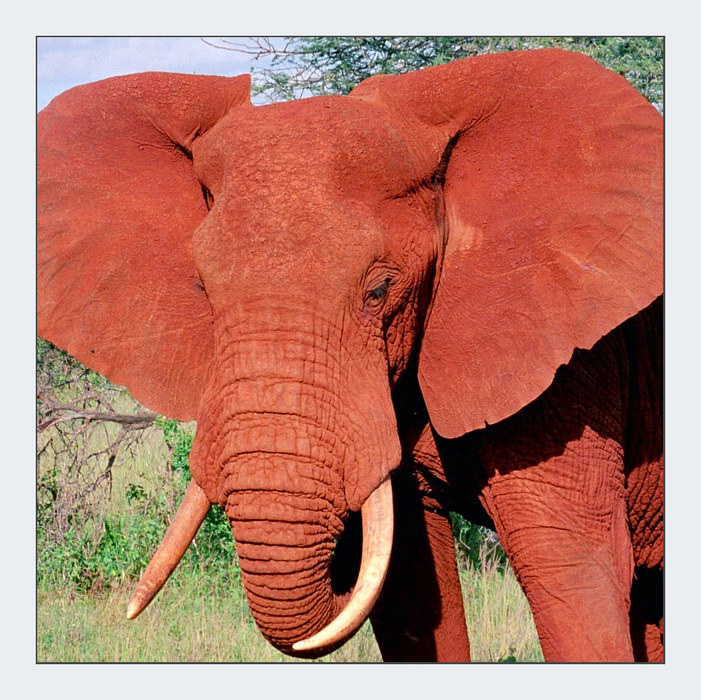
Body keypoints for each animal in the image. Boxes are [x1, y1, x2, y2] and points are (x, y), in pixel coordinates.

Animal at [37, 48, 662, 662]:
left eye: (381, 289)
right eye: (202, 290)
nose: (337, 571)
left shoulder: (575, 370)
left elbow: (572, 576)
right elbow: (410, 591)